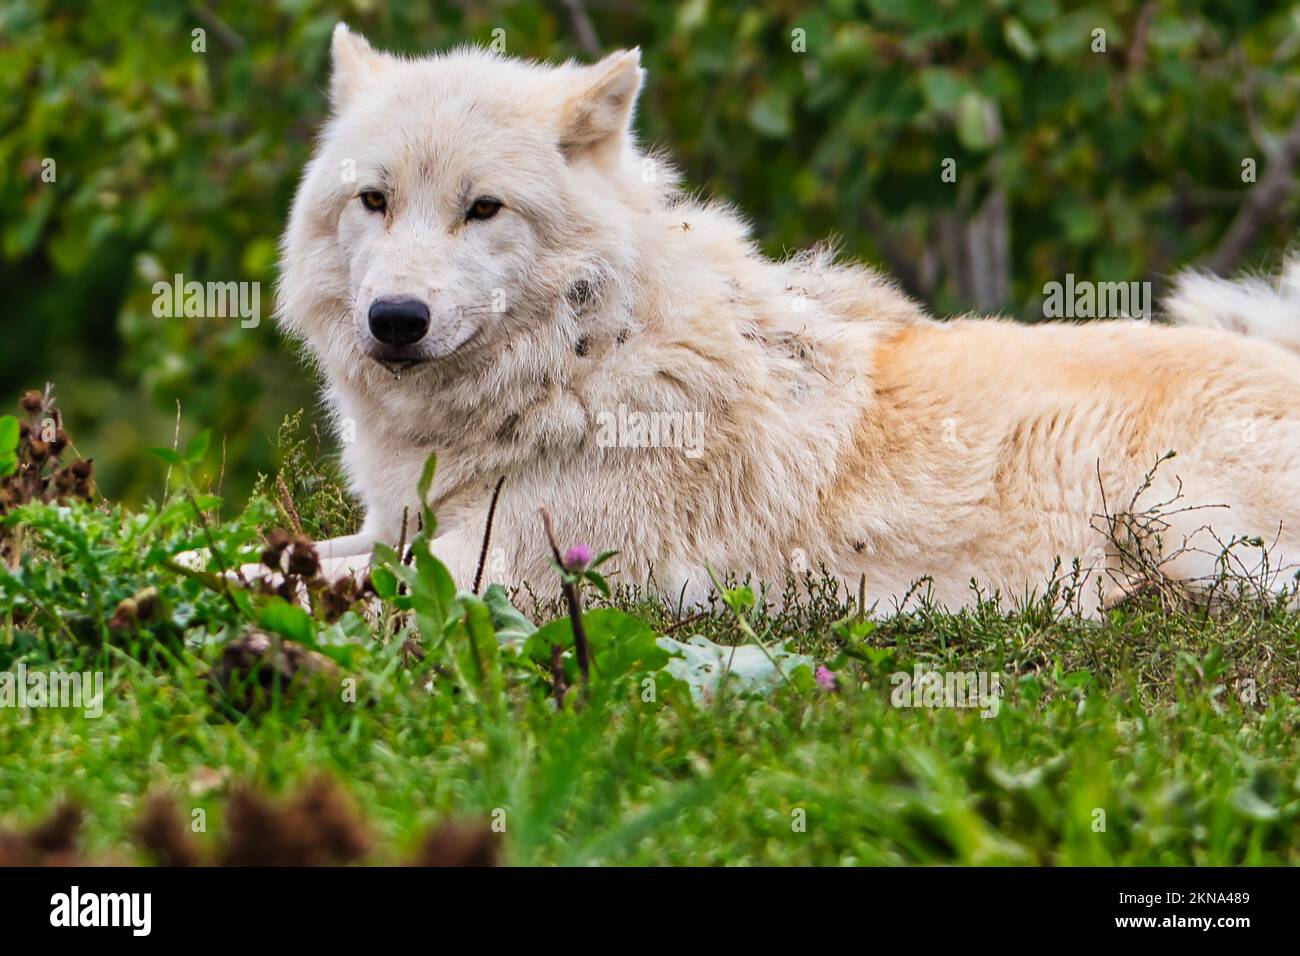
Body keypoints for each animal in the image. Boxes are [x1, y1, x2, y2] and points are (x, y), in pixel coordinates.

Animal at [274, 24, 1300, 613]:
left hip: (1181, 531)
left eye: (482, 208)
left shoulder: (519, 566)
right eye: (374, 200)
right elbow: (292, 552)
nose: (395, 319)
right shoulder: (402, 528)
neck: (587, 357)